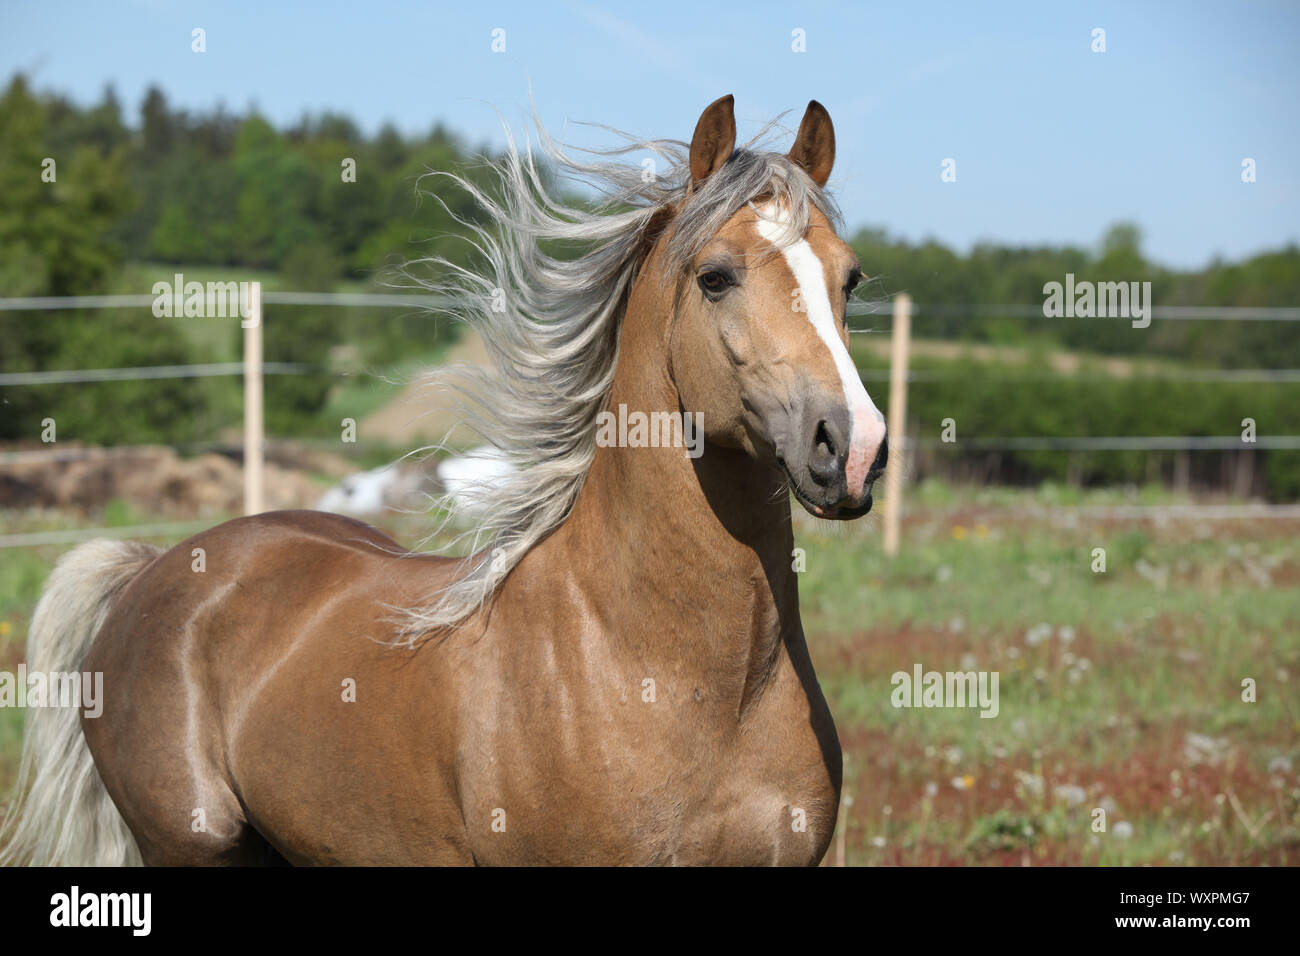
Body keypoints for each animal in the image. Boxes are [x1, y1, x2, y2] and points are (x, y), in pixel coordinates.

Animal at [1, 95, 888, 866]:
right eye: (716, 276)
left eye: (849, 279)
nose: (851, 447)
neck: (684, 679)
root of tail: (148, 571)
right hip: (188, 848)